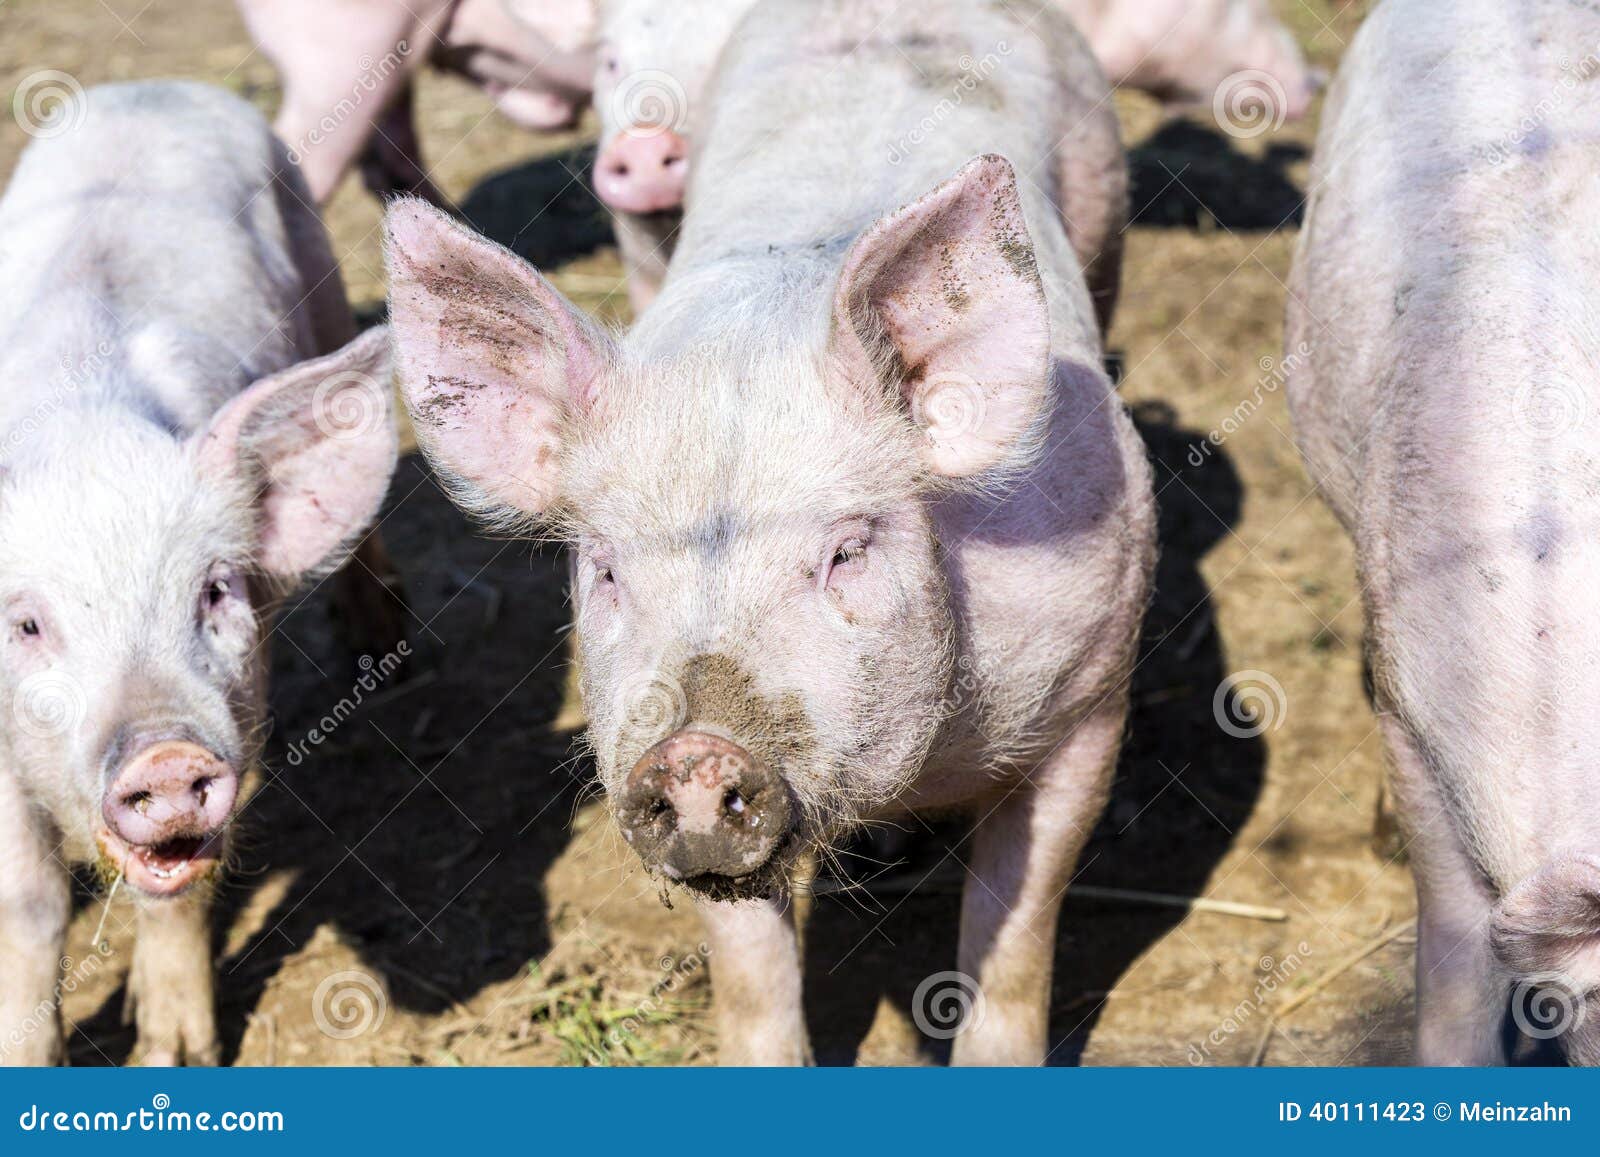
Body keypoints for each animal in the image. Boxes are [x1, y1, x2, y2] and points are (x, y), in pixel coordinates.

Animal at [0, 82, 399, 1065]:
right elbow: (29, 905)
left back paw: (384, 635)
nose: (168, 752)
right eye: (28, 623)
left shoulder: (245, 708)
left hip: (322, 277)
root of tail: (151, 90)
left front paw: (172, 1054)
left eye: (213, 591)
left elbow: (182, 894)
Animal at [390, 0, 1154, 1064]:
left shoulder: (1092, 690)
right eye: (608, 569)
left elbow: (1016, 936)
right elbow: (751, 969)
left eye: (846, 551)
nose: (695, 754)